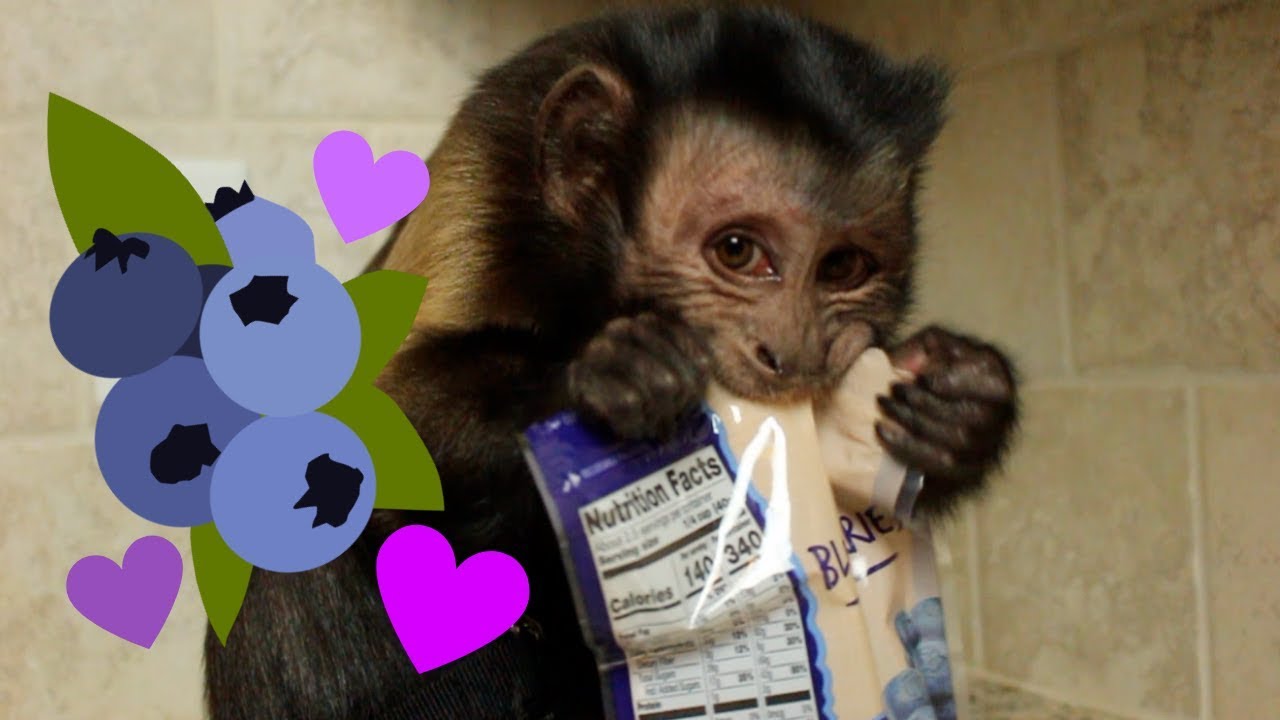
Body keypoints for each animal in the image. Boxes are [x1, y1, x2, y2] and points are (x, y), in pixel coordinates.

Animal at [203, 5, 1019, 720]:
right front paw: (606, 377)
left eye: (844, 266)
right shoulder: (488, 176)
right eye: (737, 250)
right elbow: (377, 423)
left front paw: (963, 407)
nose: (796, 353)